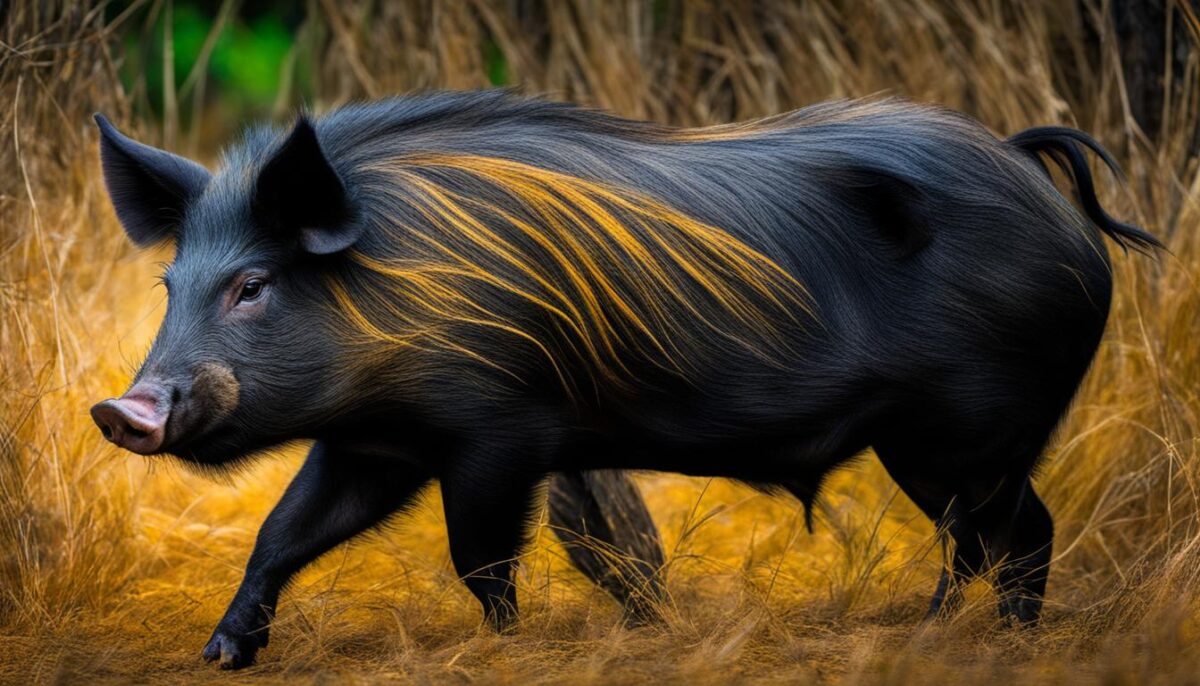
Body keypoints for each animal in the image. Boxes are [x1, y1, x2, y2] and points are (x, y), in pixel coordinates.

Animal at [90, 92, 1158, 669]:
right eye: (172, 283)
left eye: (253, 284)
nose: (120, 408)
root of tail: (1035, 178)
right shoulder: (376, 441)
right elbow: (285, 532)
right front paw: (221, 656)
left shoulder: (500, 431)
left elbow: (484, 556)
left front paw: (509, 646)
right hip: (935, 444)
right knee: (983, 540)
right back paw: (942, 637)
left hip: (975, 427)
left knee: (1019, 533)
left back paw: (992, 647)